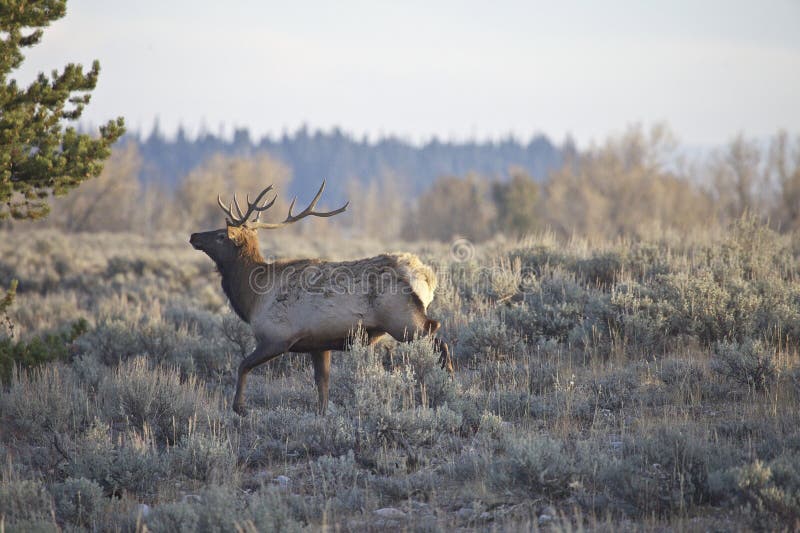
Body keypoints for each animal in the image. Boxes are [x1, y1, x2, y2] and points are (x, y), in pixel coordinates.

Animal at [189, 181, 453, 416]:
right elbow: (322, 385)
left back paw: (449, 384)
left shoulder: (277, 336)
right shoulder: (319, 344)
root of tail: (426, 274)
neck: (253, 298)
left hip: (403, 320)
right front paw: (322, 414)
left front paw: (240, 408)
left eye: (221, 235)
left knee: (440, 339)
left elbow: (243, 365)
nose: (193, 235)